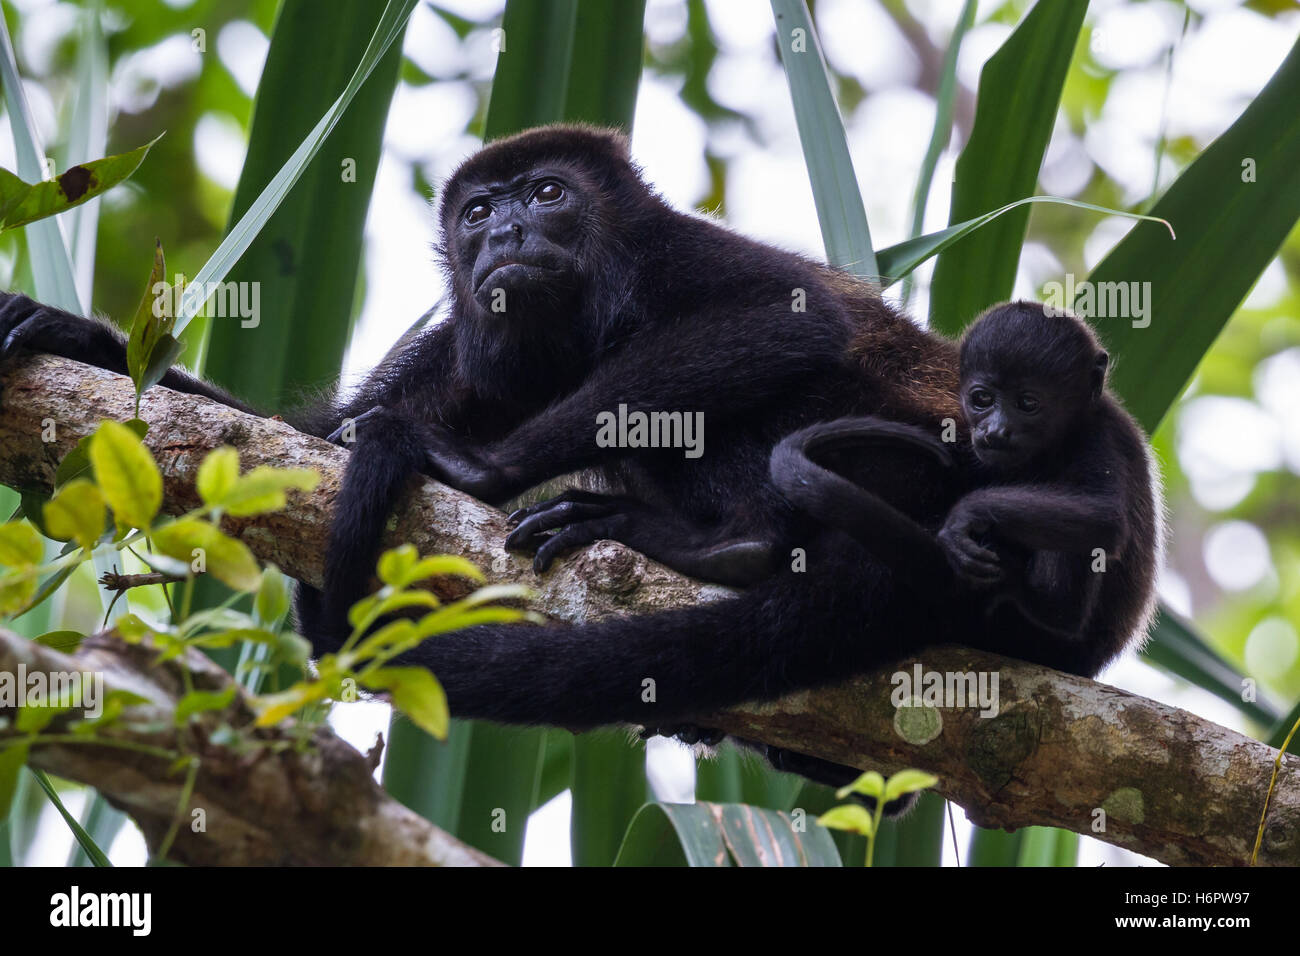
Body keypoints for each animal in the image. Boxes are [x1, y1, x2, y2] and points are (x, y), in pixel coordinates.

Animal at [0, 127, 1161, 791]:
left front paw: (480, 471)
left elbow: (784, 323)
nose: (510, 227)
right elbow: (309, 444)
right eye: (478, 211)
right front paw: (79, 338)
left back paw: (734, 548)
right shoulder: (454, 346)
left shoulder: (669, 248)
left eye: (549, 193)